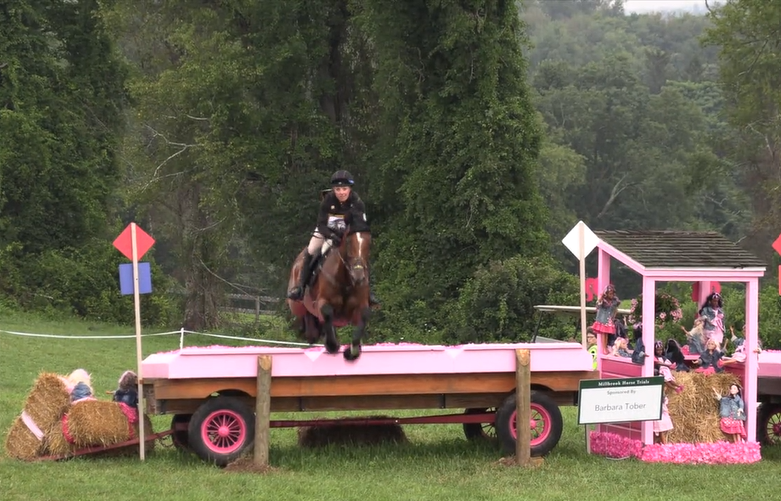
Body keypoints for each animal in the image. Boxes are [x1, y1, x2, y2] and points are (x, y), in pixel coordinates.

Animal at [286, 219, 372, 361]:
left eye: (369, 243)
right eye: (348, 242)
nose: (358, 277)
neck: (346, 281)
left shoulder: (360, 305)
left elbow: (363, 318)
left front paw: (352, 352)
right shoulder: (322, 301)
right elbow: (327, 312)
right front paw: (332, 345)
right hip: (296, 304)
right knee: (307, 316)